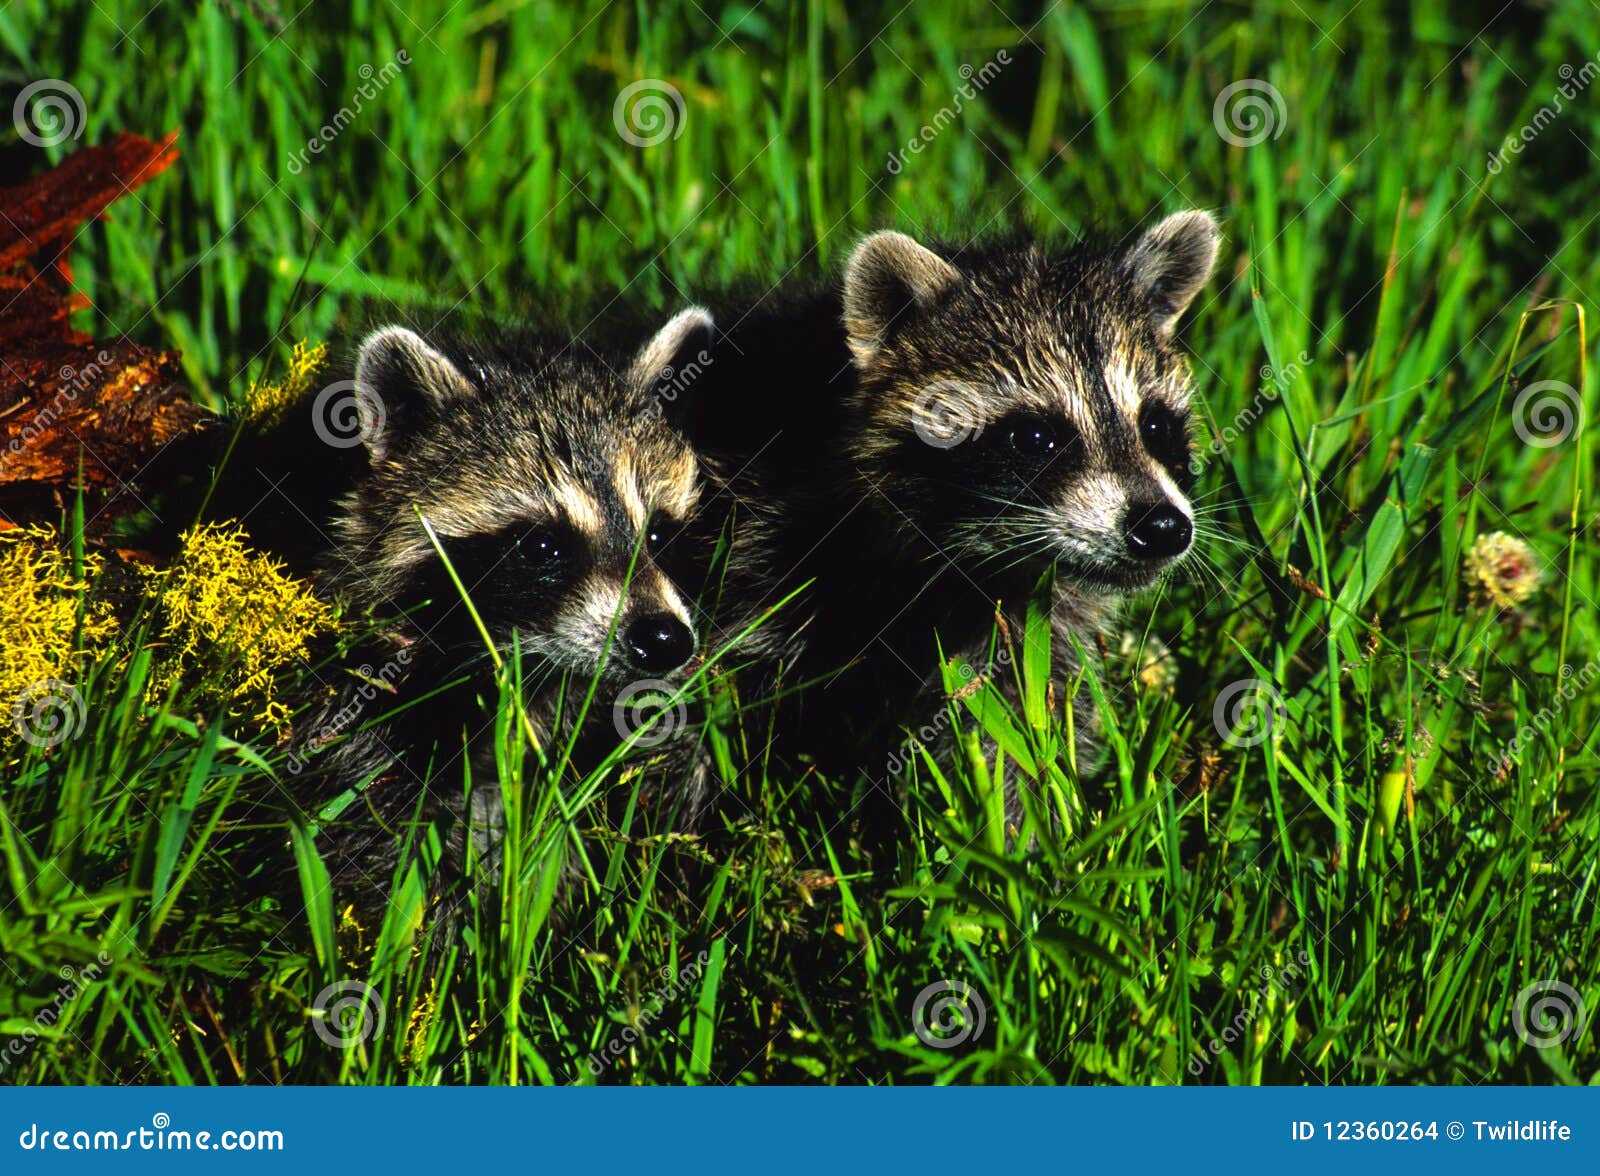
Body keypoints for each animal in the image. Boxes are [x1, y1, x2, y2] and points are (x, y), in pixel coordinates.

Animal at [682, 211, 1219, 823]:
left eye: (1156, 426)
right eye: (1036, 437)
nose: (1162, 527)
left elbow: (1013, 729)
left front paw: (1020, 831)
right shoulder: (747, 546)